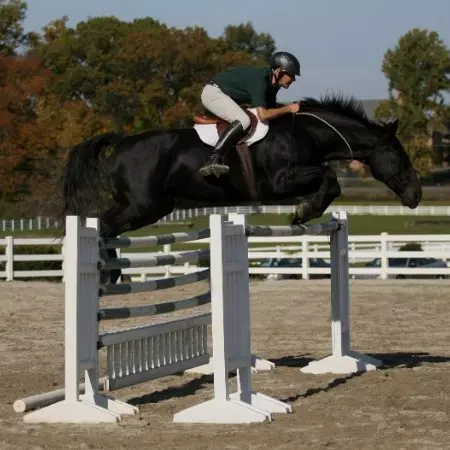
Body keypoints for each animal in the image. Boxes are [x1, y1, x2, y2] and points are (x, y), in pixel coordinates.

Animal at [59, 94, 422, 280]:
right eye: (396, 154)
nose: (416, 195)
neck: (305, 132)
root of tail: (121, 143)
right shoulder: (279, 182)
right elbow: (329, 180)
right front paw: (304, 211)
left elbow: (328, 182)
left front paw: (305, 211)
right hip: (142, 205)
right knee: (103, 225)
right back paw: (104, 273)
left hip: (151, 206)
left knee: (107, 226)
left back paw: (112, 272)